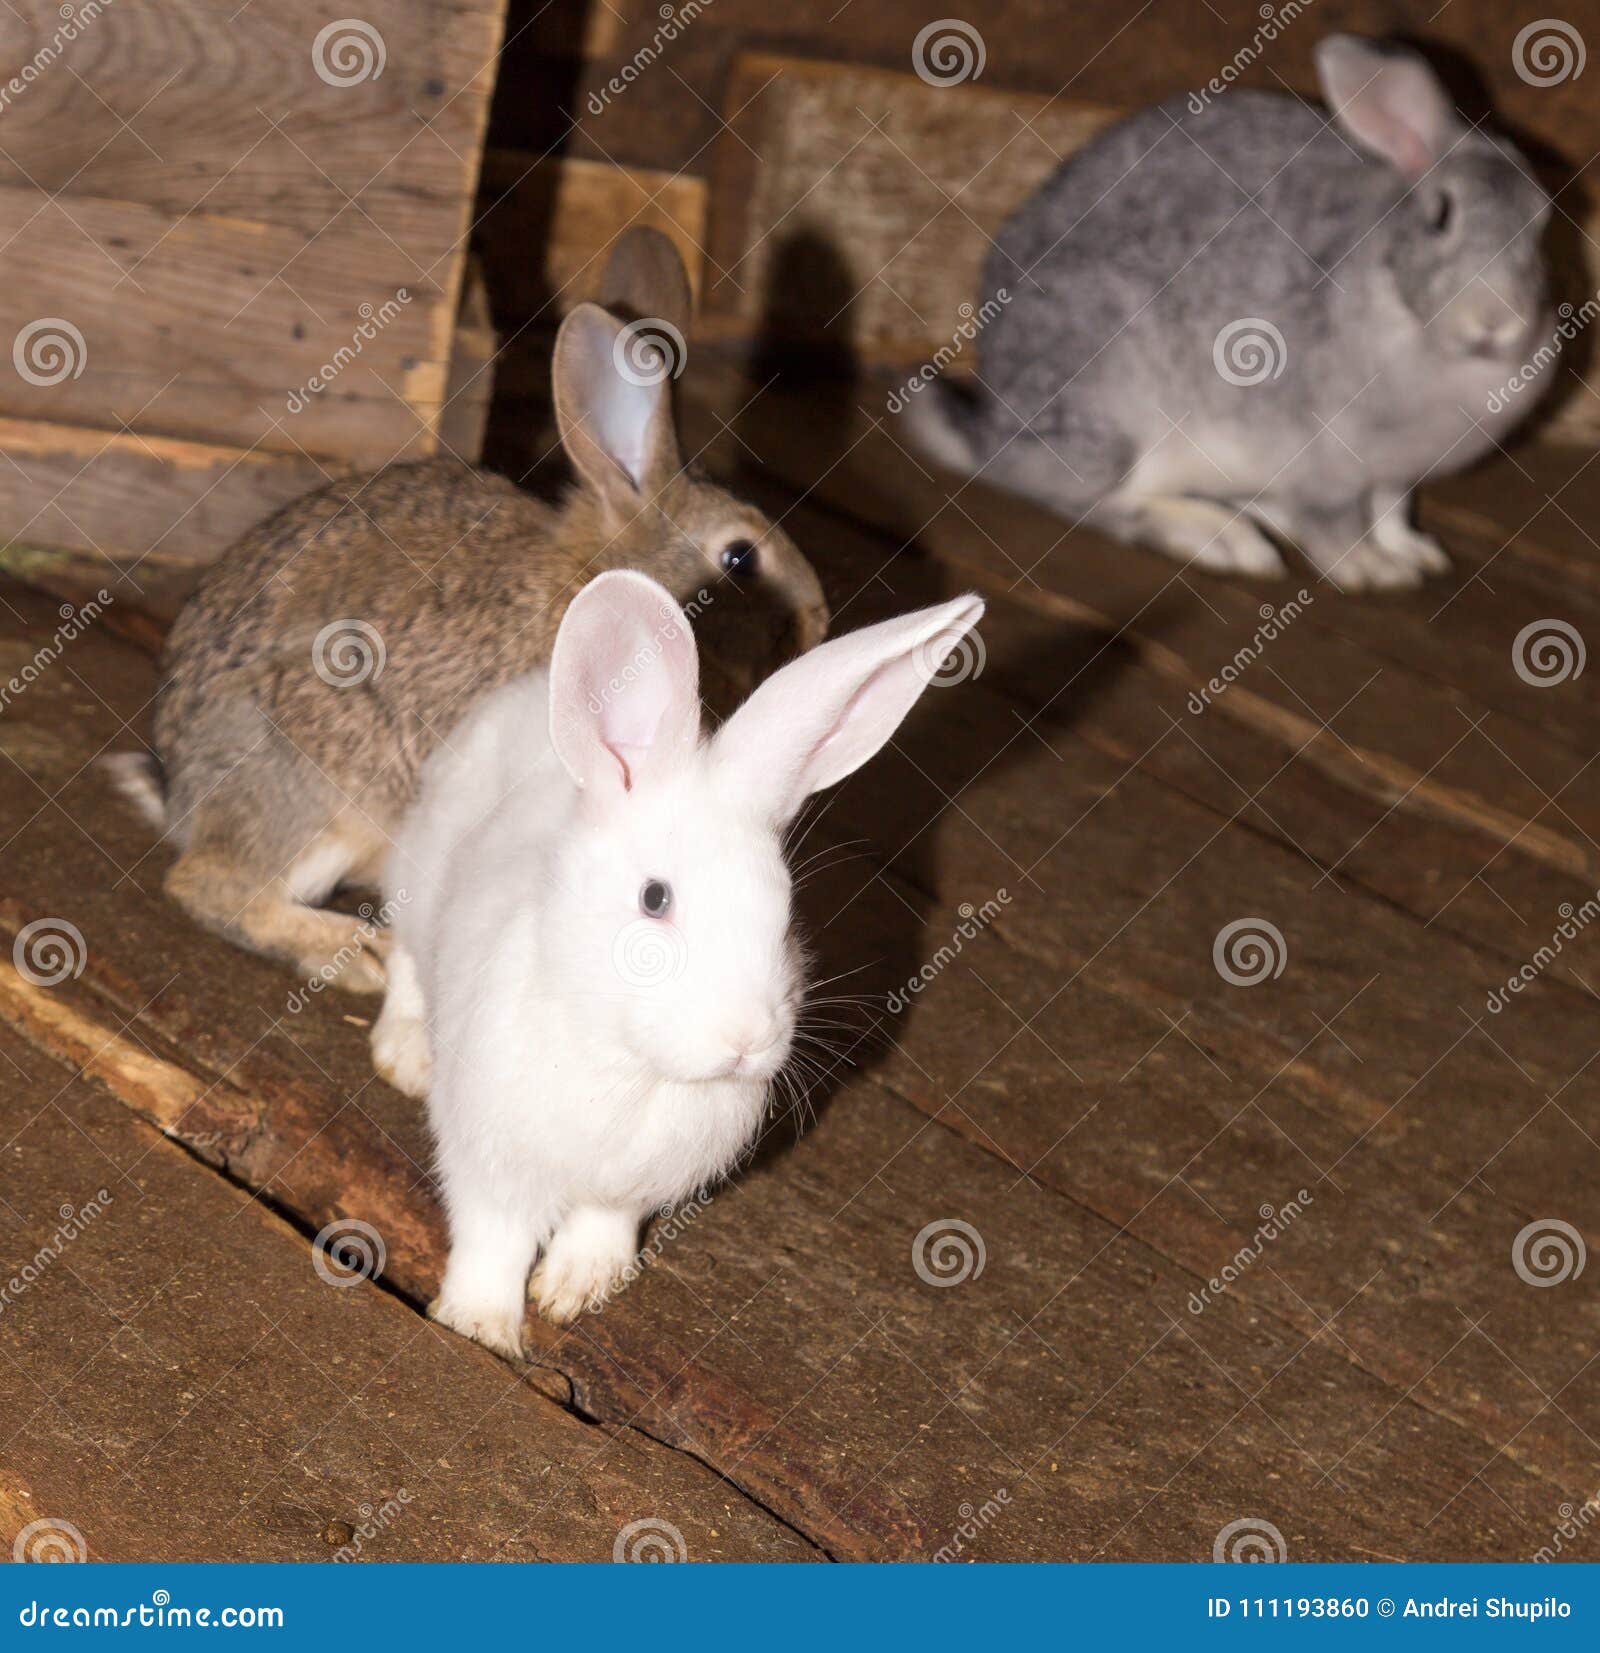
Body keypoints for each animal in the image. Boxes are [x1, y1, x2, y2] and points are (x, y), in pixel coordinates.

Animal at [110, 229, 829, 992]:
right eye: (740, 559)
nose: (819, 619)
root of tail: (182, 793)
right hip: (320, 791)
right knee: (211, 886)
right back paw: (352, 951)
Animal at [370, 568, 985, 1353]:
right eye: (654, 898)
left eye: (786, 912)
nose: (747, 1040)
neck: (638, 1069)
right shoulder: (488, 1159)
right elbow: (493, 1243)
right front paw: (481, 1328)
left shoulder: (630, 1188)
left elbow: (601, 1224)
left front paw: (578, 1287)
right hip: (417, 877)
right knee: (406, 963)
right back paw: (405, 1055)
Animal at [904, 34, 1555, 591]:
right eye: (1441, 216)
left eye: (1543, 225)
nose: (1496, 324)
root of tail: (992, 434)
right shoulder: (1329, 466)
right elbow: (1339, 526)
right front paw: (1372, 572)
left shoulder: (1395, 473)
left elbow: (1392, 511)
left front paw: (1414, 553)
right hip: (1118, 412)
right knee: (1094, 500)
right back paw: (1225, 540)